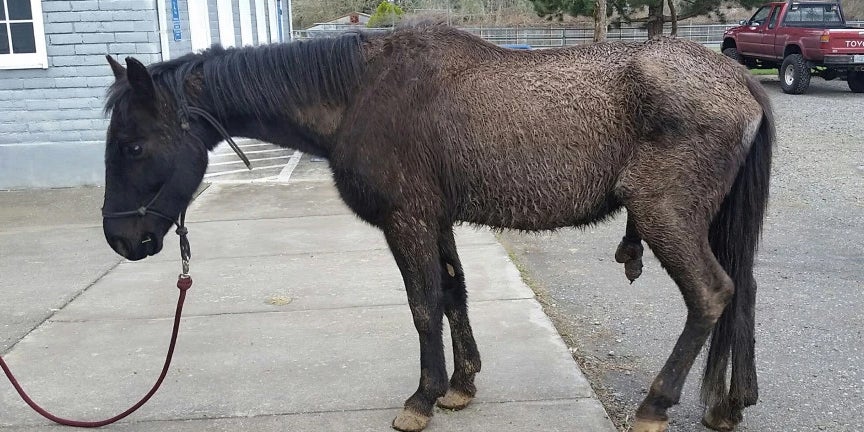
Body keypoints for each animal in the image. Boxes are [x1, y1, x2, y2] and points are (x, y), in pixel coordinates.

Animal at [100, 22, 773, 432]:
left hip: (666, 218)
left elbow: (424, 306)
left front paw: (421, 398)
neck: (359, 93)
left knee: (711, 295)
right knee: (741, 291)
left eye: (132, 146)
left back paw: (657, 404)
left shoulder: (408, 223)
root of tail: (740, 78)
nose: (121, 239)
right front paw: (460, 384)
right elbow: (453, 294)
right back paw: (727, 404)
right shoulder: (436, 222)